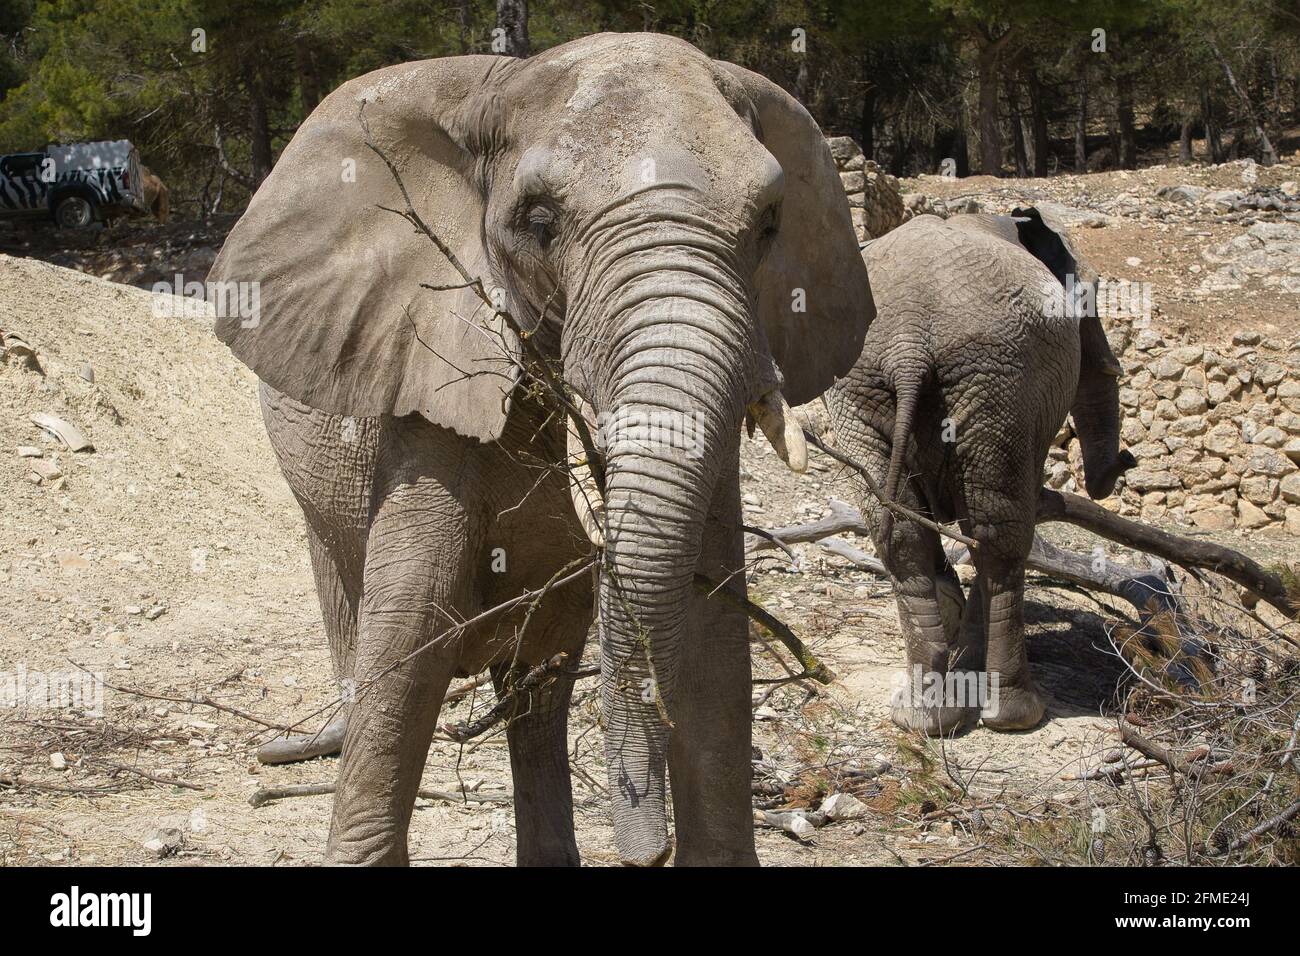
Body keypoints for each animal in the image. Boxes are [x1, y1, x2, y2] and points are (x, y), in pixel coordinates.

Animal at [208, 33, 870, 865]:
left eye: (771, 224)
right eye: (540, 220)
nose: (645, 849)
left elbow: (712, 616)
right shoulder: (423, 345)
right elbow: (414, 619)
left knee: (541, 666)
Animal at [825, 208, 1134, 736]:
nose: (1128, 461)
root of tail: (908, 342)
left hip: (867, 385)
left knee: (900, 532)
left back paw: (924, 717)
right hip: (998, 375)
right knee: (1000, 534)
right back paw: (1014, 714)